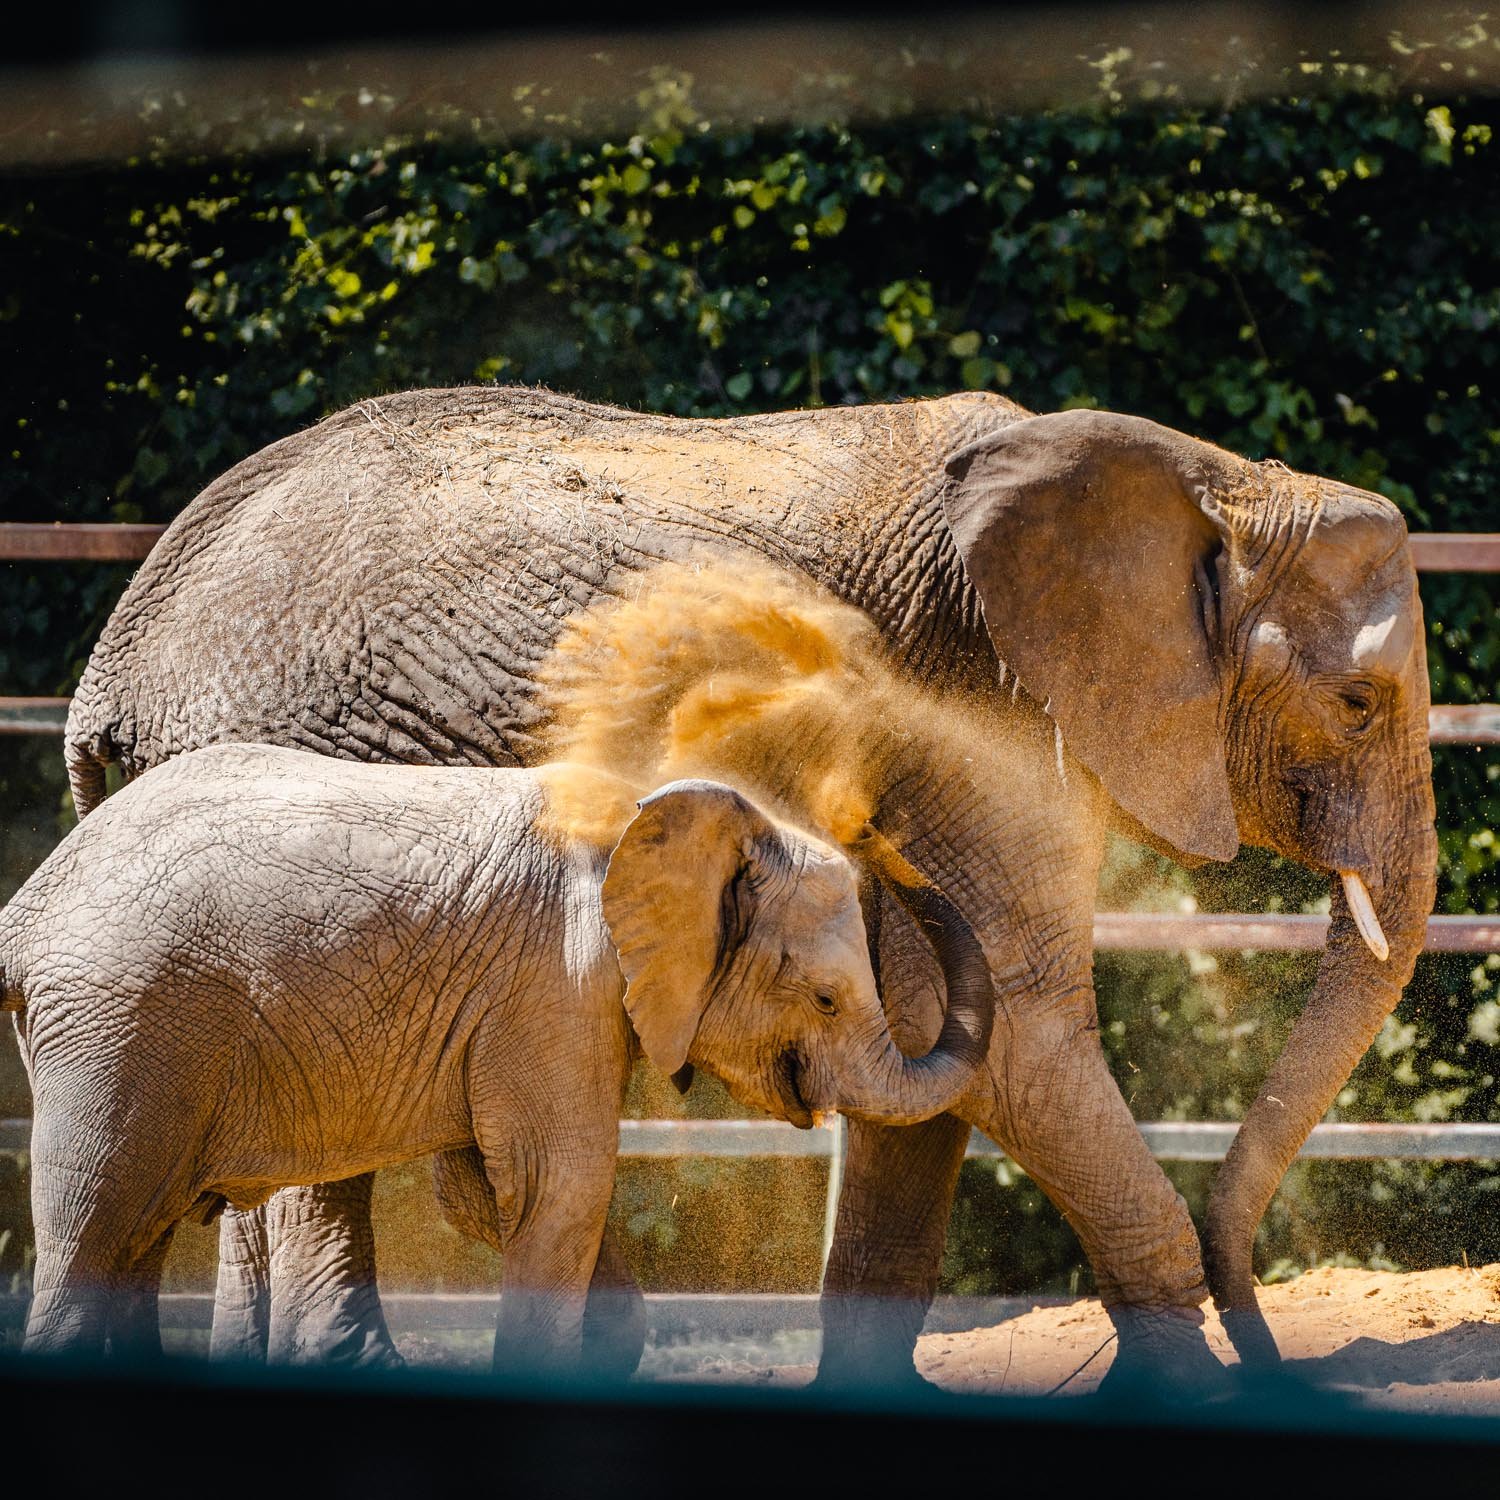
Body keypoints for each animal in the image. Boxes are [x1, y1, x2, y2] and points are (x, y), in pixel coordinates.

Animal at [1, 743, 994, 1361]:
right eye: (825, 997)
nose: (868, 817)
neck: (659, 813)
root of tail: (34, 898)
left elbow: (493, 1194)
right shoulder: (557, 980)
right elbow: (561, 1186)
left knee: (133, 1243)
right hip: (121, 1022)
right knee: (97, 1229)